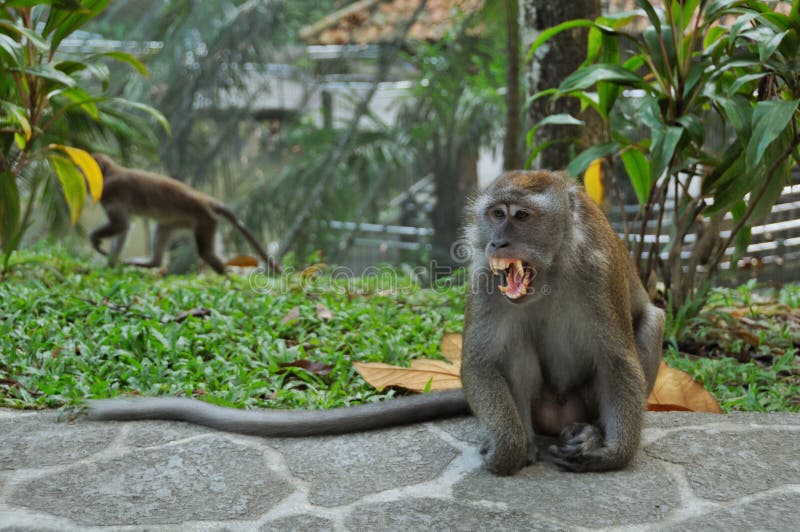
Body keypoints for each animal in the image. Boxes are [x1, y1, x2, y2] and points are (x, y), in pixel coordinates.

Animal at [82, 170, 663, 477]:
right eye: (495, 215)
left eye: (521, 217)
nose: (498, 241)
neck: (552, 268)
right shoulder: (483, 278)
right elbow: (481, 363)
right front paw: (505, 451)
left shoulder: (596, 271)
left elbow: (617, 361)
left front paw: (610, 453)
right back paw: (527, 440)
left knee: (653, 320)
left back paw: (584, 432)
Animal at [89, 153, 281, 274]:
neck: (110, 172)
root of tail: (205, 199)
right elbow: (125, 227)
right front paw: (110, 263)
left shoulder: (109, 190)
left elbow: (121, 224)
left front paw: (95, 239)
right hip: (185, 220)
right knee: (163, 228)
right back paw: (152, 262)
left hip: (205, 219)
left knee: (206, 253)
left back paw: (227, 273)